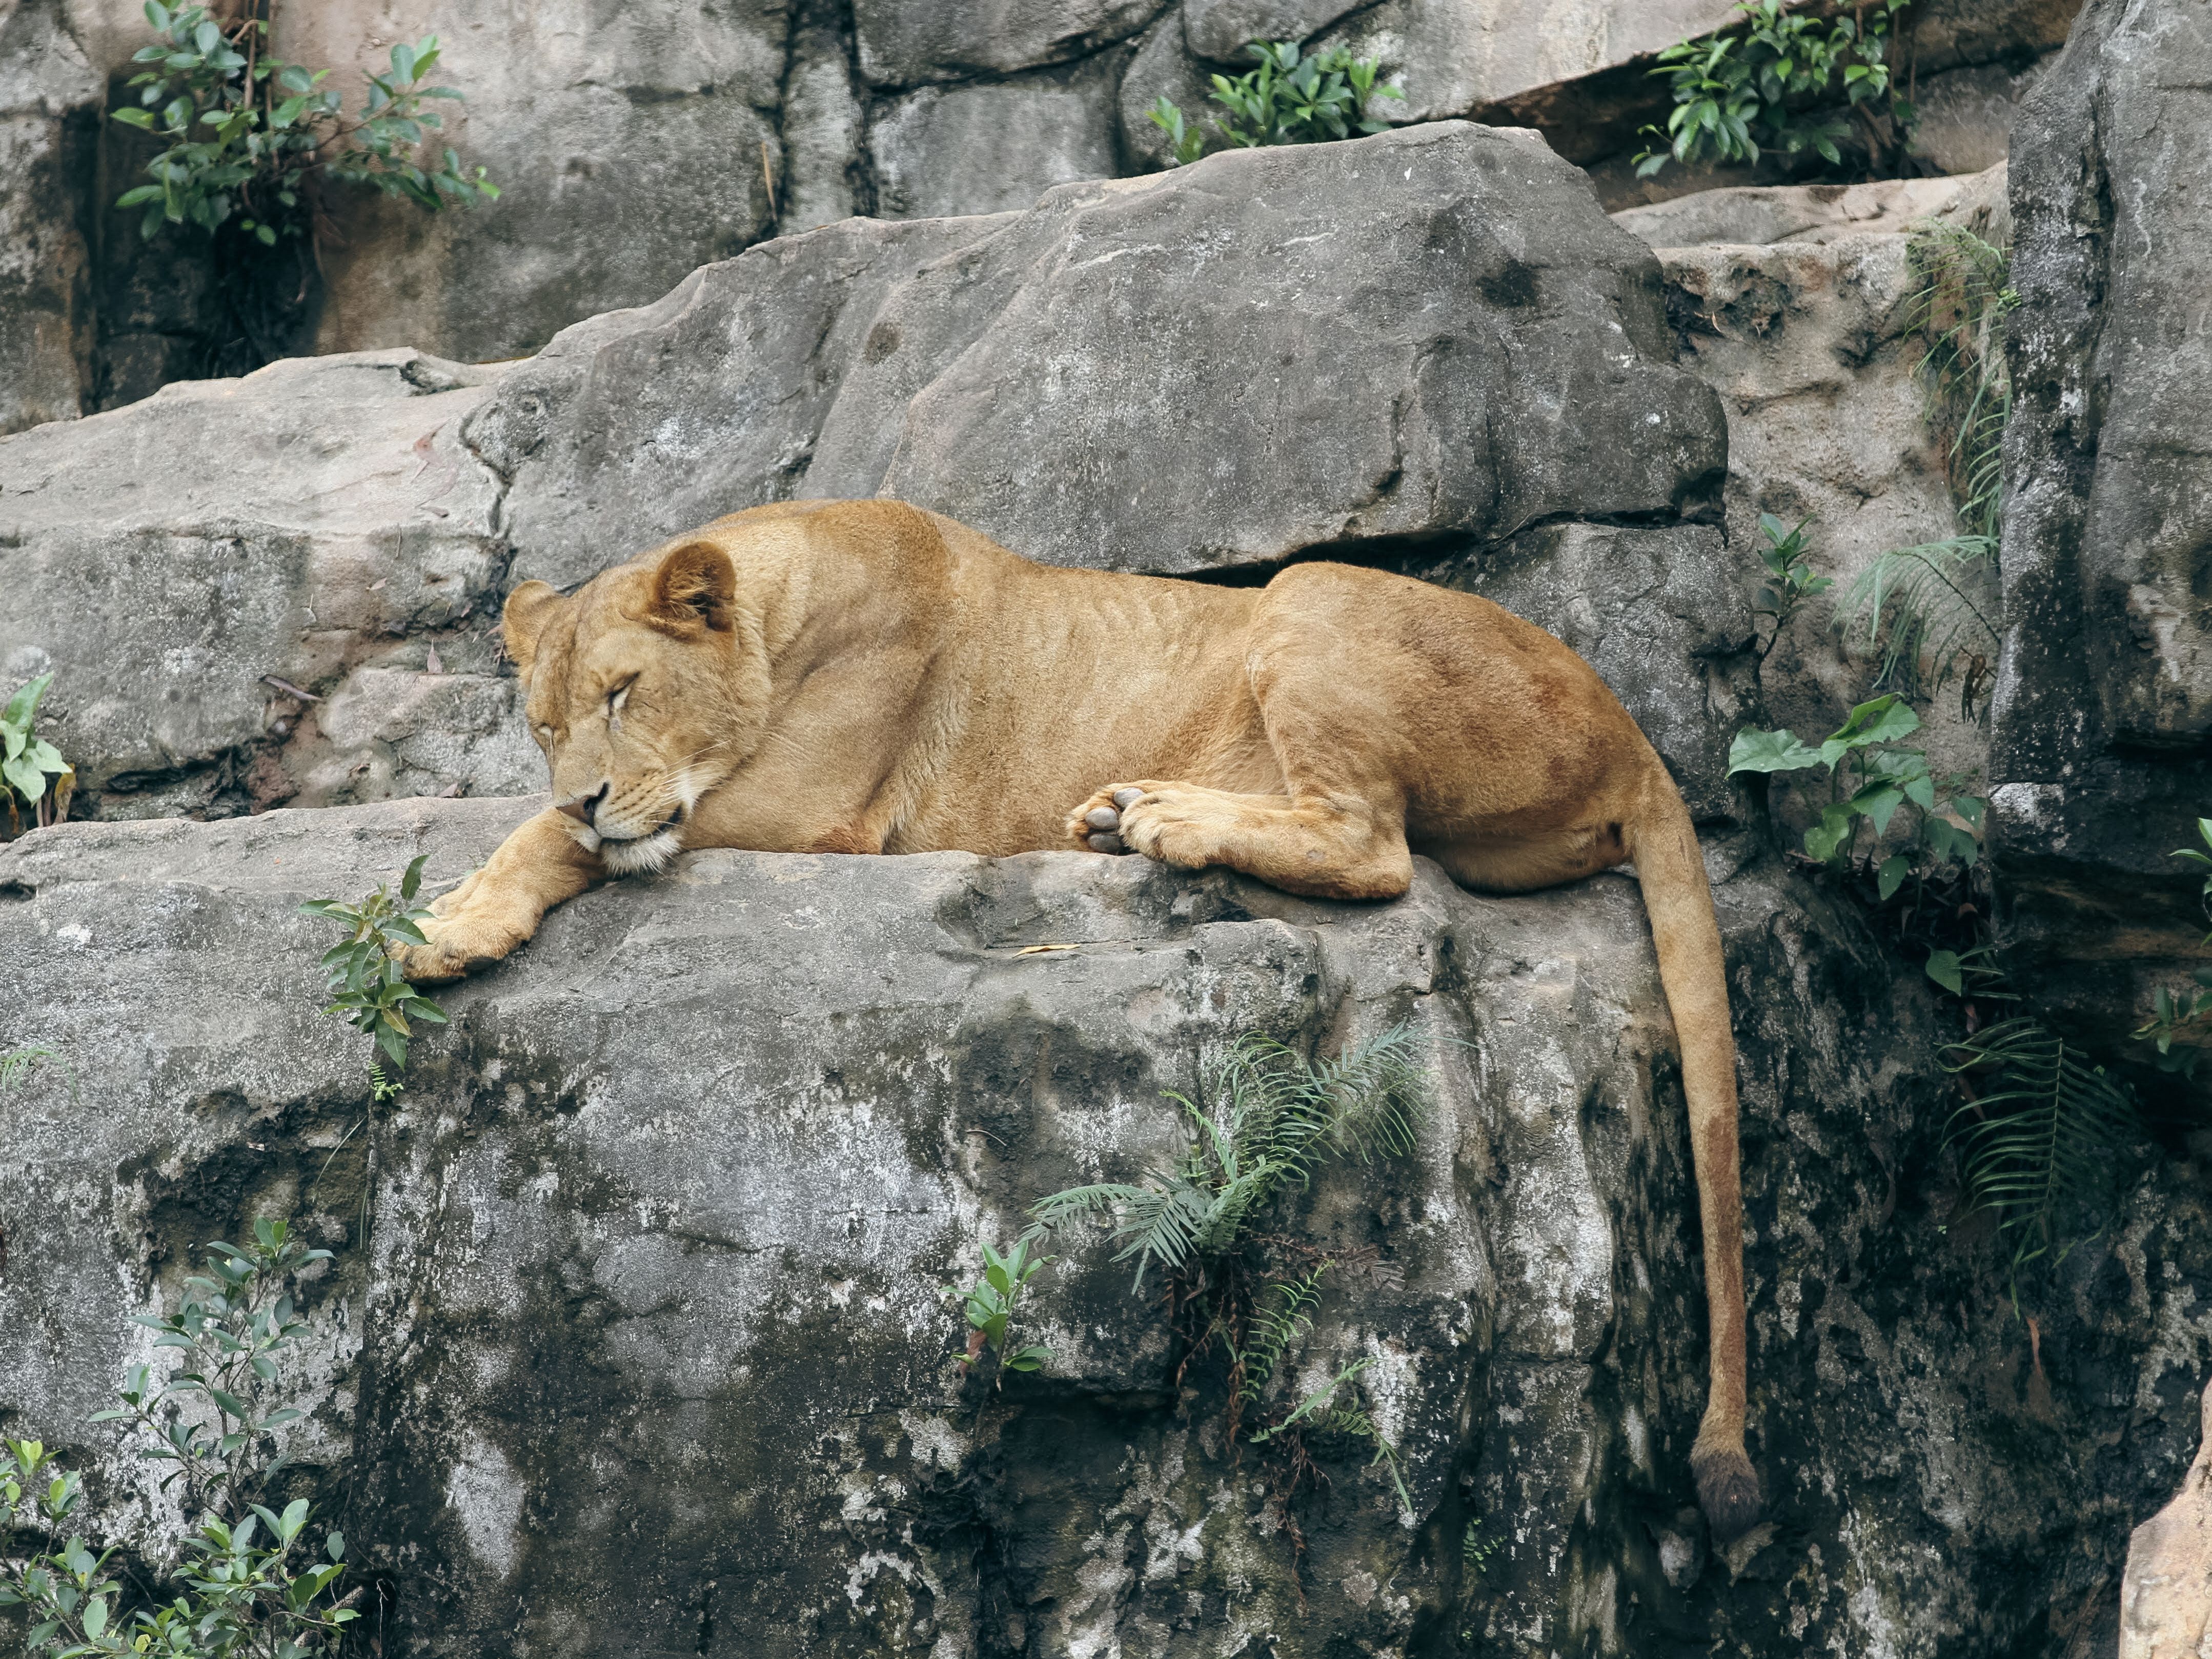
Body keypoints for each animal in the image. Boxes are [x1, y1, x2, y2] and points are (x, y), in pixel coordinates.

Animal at [401, 497, 1757, 1539]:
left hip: (1308, 596)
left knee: (1373, 848)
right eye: (543, 721)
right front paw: (482, 887)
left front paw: (450, 922)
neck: (791, 595)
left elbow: (546, 839)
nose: (581, 791)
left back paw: (1156, 815)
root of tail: (1635, 735)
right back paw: (1118, 812)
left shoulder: (814, 812)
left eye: (623, 695)